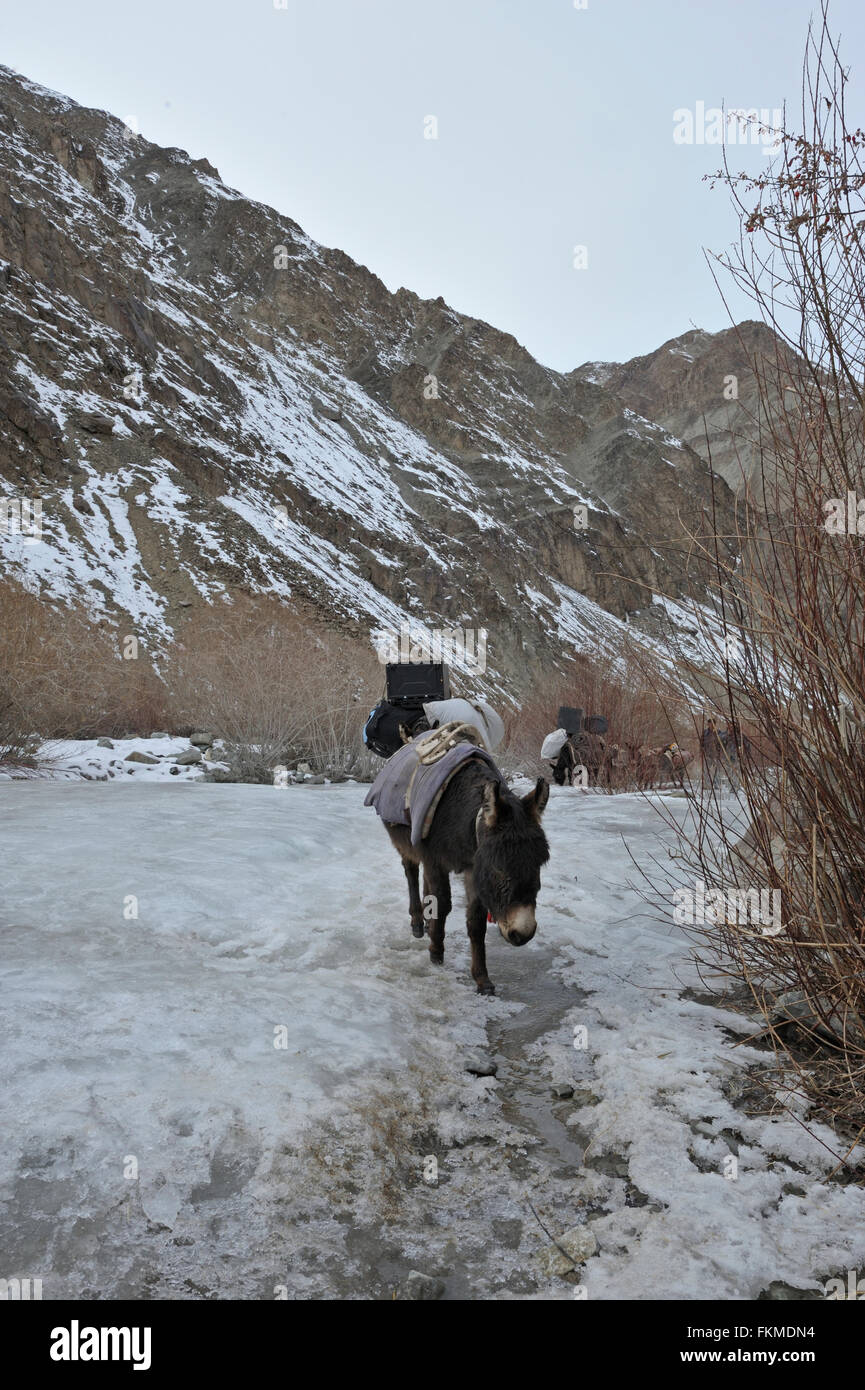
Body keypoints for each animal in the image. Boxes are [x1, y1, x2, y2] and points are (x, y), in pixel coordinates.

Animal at [382, 760, 550, 995]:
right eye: (498, 868)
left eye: (539, 865)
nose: (523, 934)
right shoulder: (436, 861)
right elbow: (442, 904)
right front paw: (436, 952)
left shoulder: (473, 870)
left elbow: (476, 922)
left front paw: (482, 979)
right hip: (406, 843)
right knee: (411, 871)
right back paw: (417, 922)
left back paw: (427, 920)